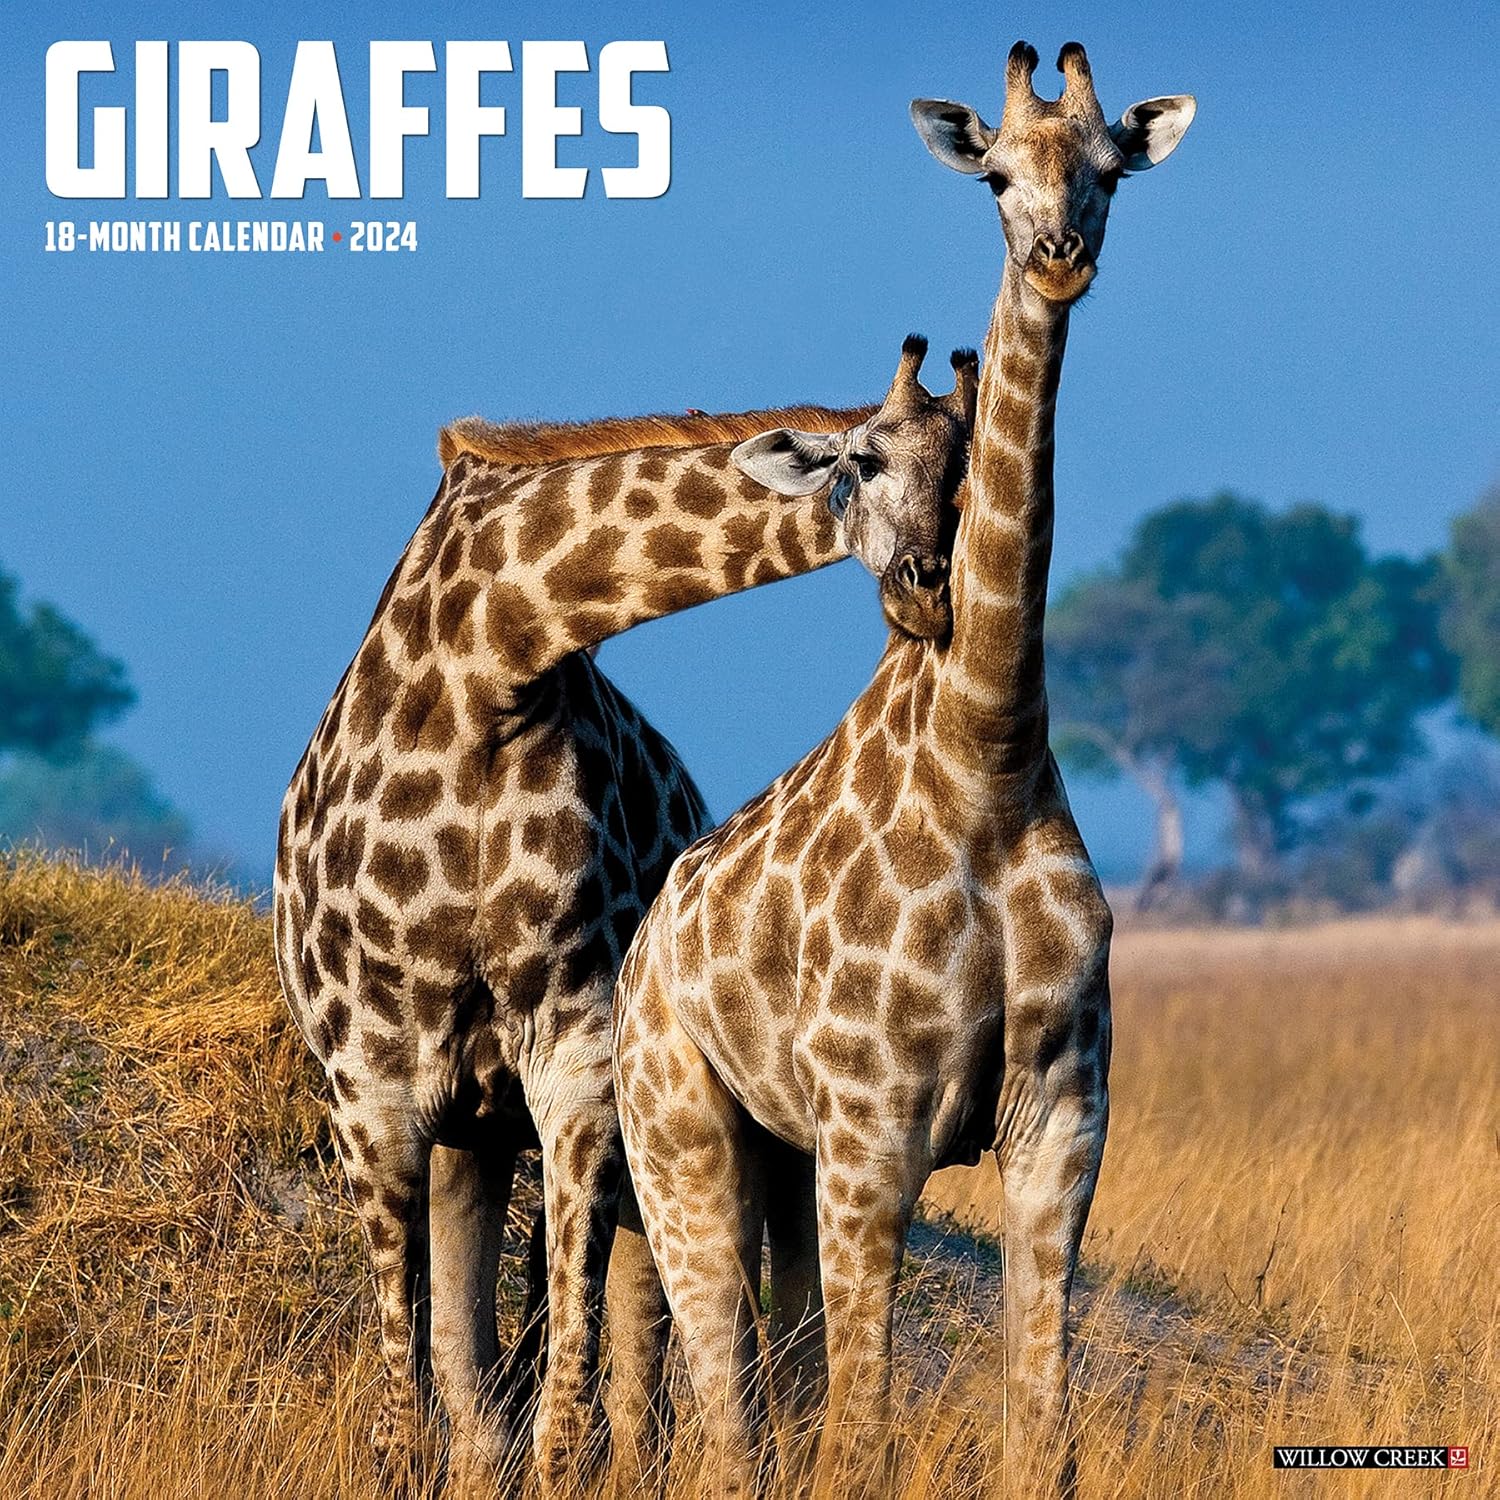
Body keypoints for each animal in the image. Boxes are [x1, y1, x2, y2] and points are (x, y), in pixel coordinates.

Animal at [271, 368, 964, 1491]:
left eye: (972, 462)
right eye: (863, 462)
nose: (928, 584)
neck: (487, 665)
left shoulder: (578, 1052)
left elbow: (576, 1385)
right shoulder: (371, 1080)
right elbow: (414, 1400)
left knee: (643, 1377)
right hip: (475, 1129)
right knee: (475, 1378)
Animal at [612, 41, 1196, 1495]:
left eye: (1110, 169)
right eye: (993, 174)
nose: (1057, 253)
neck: (987, 762)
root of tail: (643, 949)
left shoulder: (1063, 1111)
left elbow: (1041, 1425)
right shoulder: (876, 1118)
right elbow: (862, 1429)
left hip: (778, 1153)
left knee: (772, 1384)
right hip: (680, 1127)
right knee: (728, 1411)